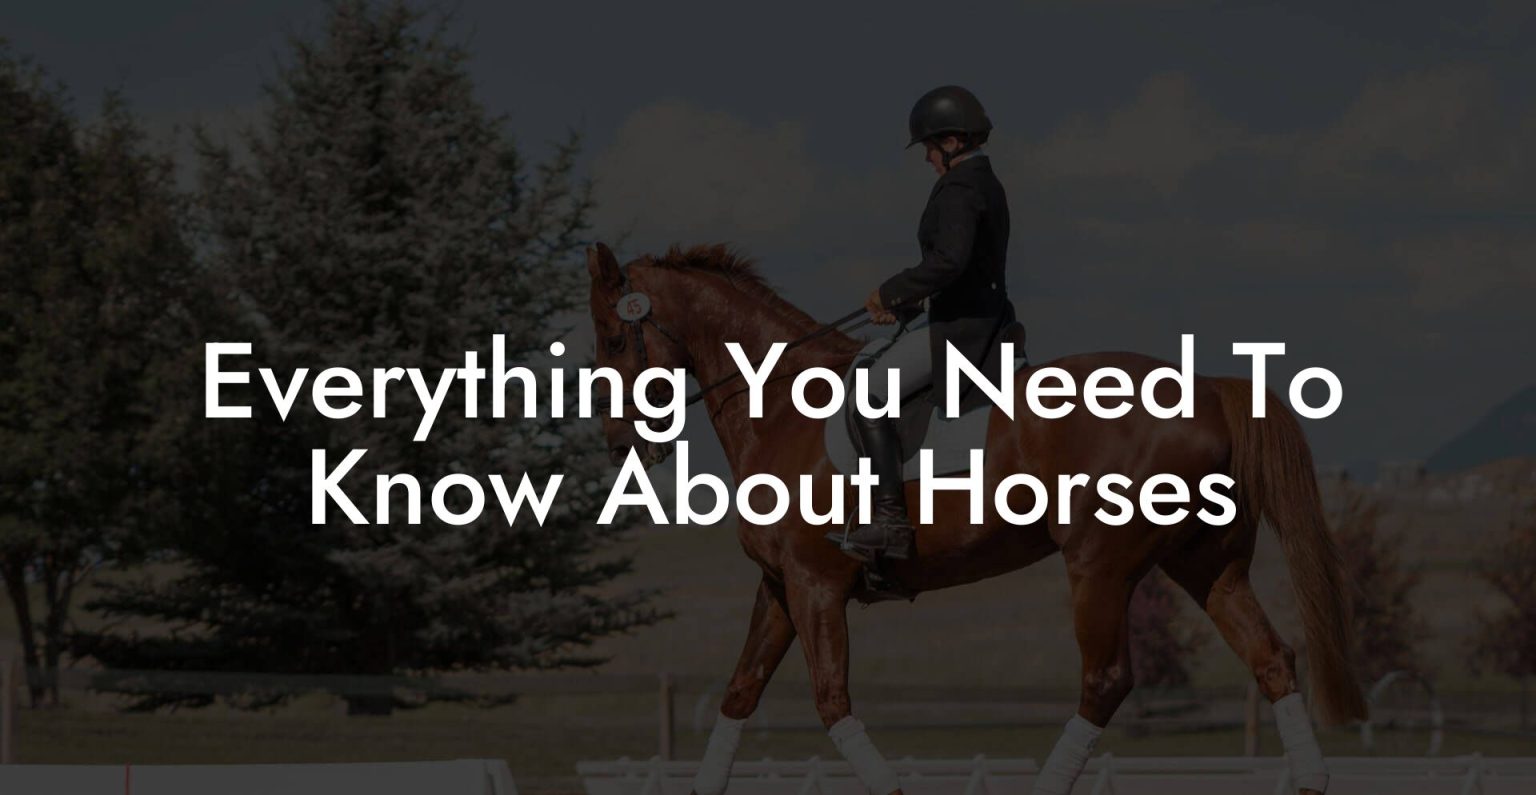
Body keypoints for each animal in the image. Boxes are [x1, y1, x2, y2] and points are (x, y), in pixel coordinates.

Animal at [584, 242, 1365, 795]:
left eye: (616, 341)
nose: (621, 444)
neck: (779, 404)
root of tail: (1207, 388)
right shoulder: (781, 586)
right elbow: (741, 692)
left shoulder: (815, 587)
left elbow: (832, 702)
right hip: (1206, 563)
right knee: (1271, 657)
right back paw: (1310, 779)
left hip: (1100, 565)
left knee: (1106, 680)